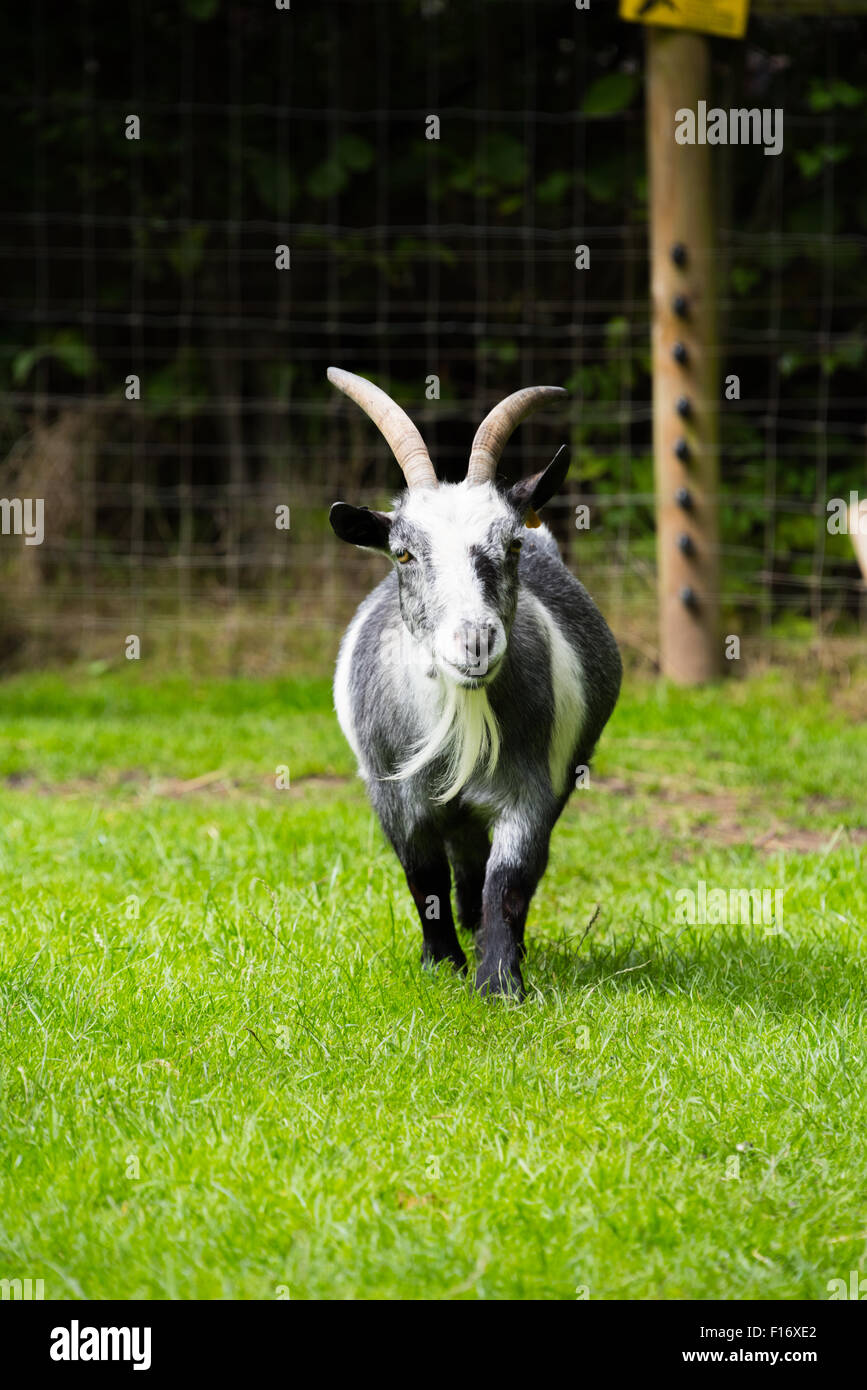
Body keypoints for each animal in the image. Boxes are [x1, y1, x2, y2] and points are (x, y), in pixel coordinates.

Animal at [328, 368, 621, 998]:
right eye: (404, 553)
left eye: (509, 544)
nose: (475, 640)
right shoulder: (395, 794)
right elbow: (423, 877)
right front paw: (442, 964)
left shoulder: (533, 786)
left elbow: (509, 879)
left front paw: (499, 981)